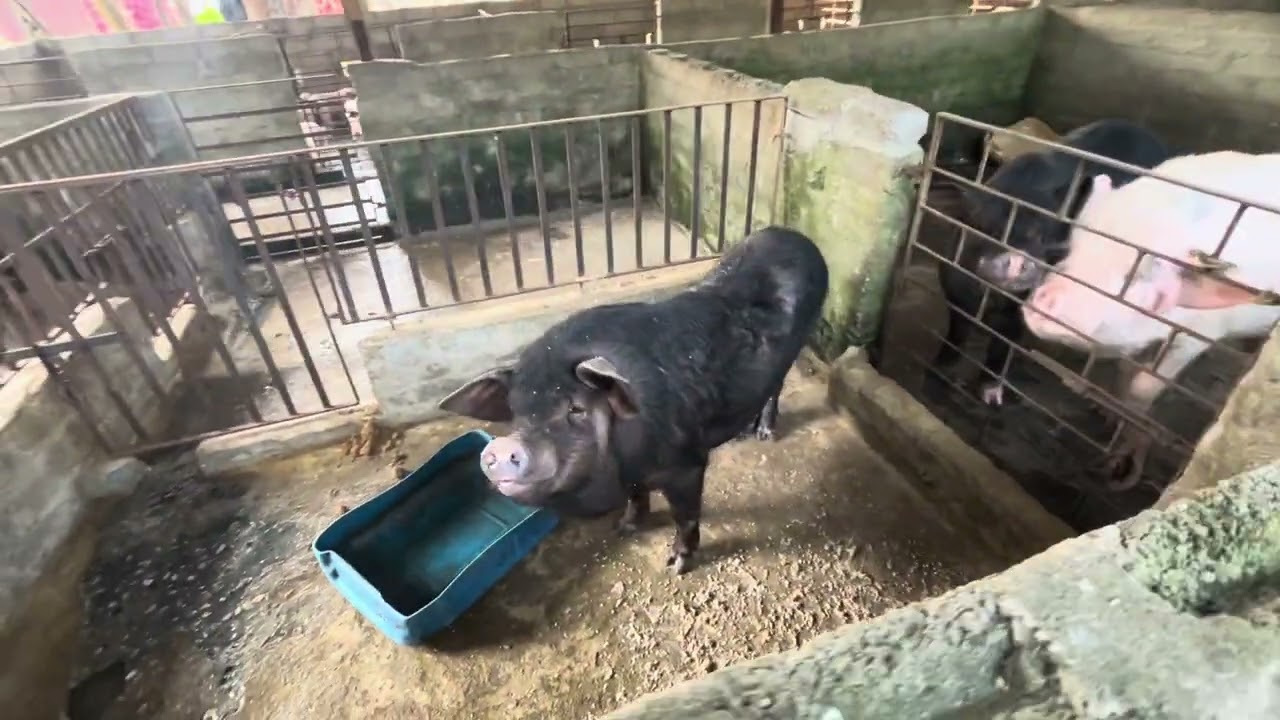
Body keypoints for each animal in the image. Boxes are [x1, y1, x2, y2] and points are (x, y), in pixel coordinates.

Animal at [437, 226, 830, 574]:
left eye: (576, 409)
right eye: (517, 413)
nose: (502, 447)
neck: (625, 461)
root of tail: (798, 238)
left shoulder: (689, 464)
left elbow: (686, 516)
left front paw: (677, 566)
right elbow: (637, 497)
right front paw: (625, 527)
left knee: (776, 386)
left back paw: (764, 434)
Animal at [935, 119, 1171, 406]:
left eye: (1042, 234)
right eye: (987, 227)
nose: (1017, 260)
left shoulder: (1021, 306)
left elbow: (1003, 343)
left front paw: (991, 397)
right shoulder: (953, 283)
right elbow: (957, 331)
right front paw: (940, 369)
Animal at [1022, 150, 1280, 488]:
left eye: (1137, 277)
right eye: (1073, 248)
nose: (1046, 298)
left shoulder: (1201, 333)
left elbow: (1145, 386)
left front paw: (1124, 474)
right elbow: (1124, 370)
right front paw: (1108, 419)